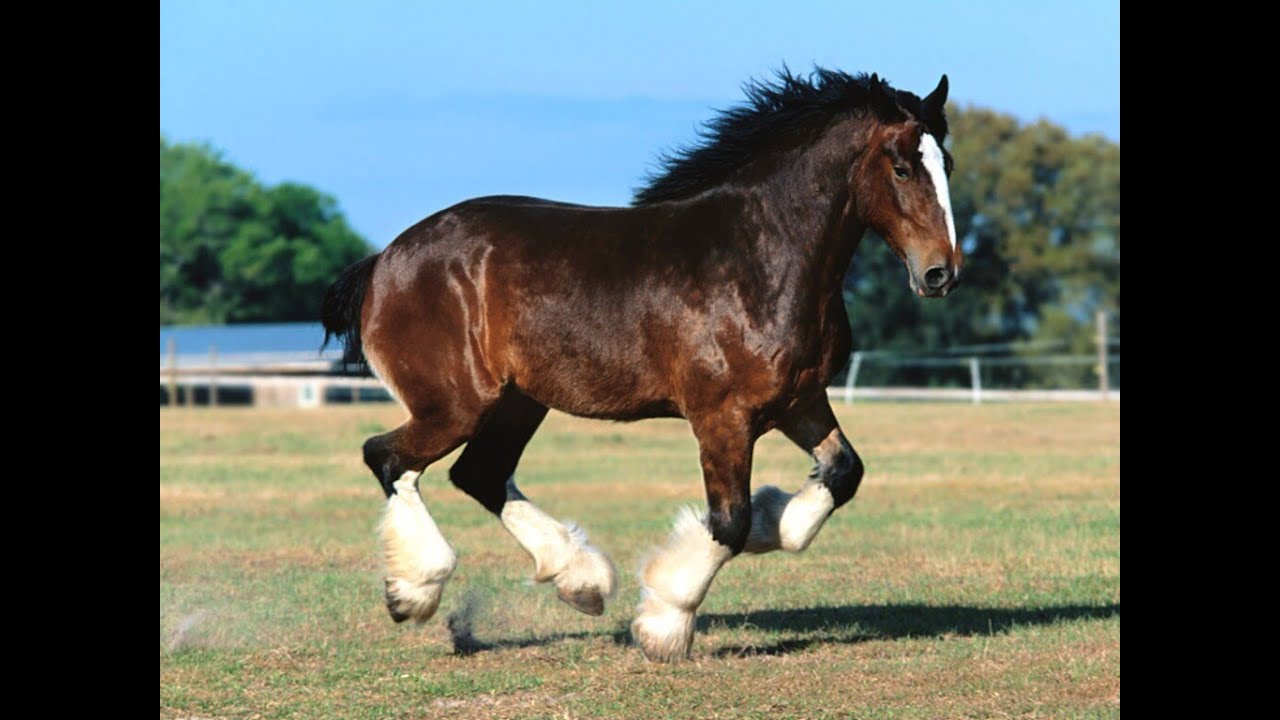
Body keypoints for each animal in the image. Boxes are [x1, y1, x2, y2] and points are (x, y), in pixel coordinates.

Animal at [321, 68, 959, 662]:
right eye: (902, 167)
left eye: (946, 161)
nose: (940, 273)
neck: (759, 259)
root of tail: (385, 261)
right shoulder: (722, 417)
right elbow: (728, 521)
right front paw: (665, 623)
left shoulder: (800, 401)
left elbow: (840, 474)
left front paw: (771, 519)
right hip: (456, 405)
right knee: (389, 458)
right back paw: (414, 591)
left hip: (517, 403)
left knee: (477, 473)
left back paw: (581, 580)